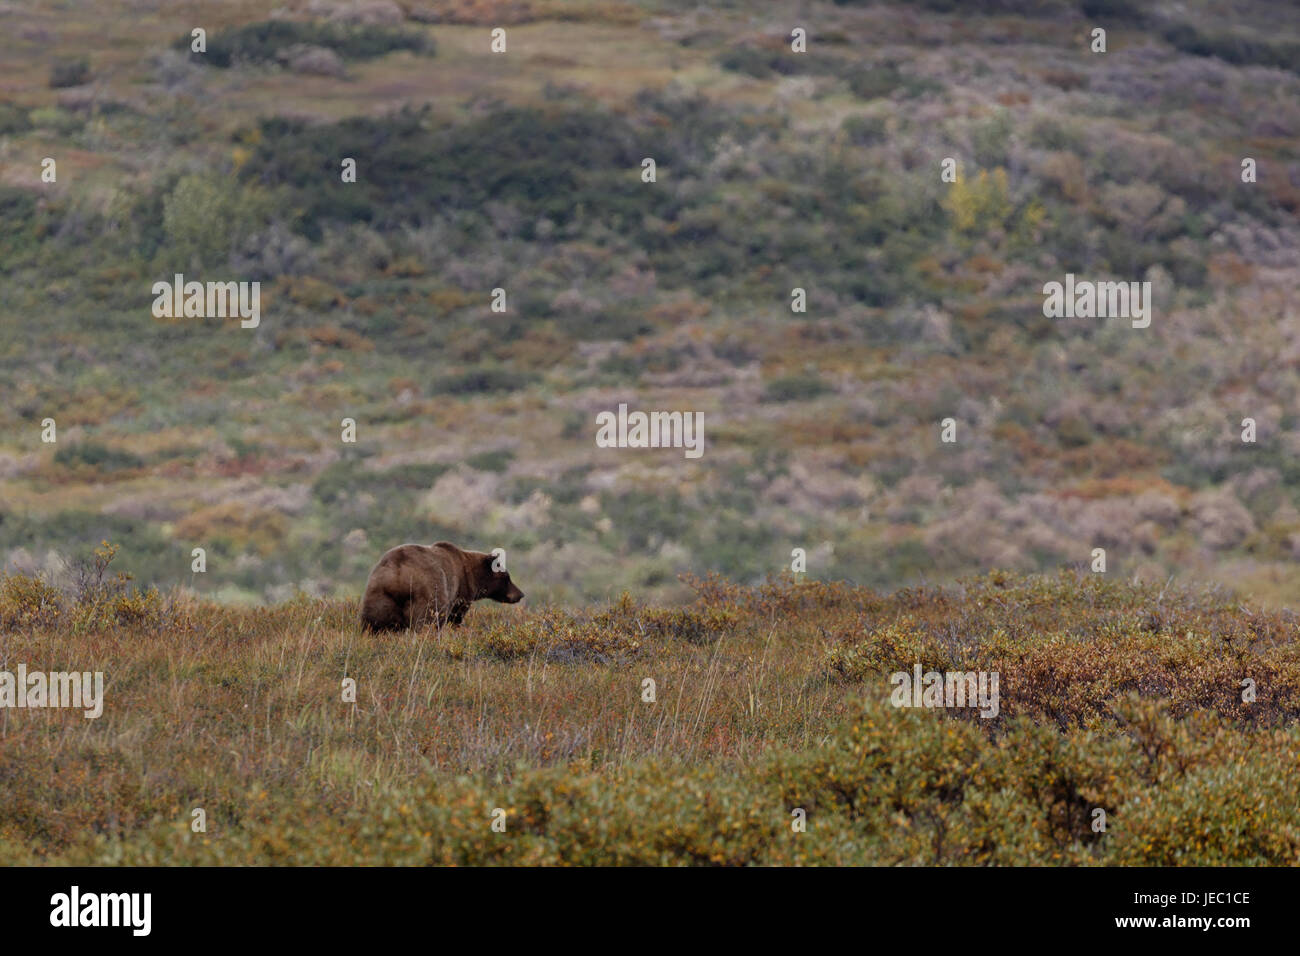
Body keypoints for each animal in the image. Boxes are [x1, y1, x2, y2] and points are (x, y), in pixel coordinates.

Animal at [359, 542, 524, 632]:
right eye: (507, 577)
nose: (520, 594)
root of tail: (399, 574)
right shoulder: (461, 592)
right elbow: (455, 616)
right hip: (427, 593)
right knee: (428, 620)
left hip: (378, 593)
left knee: (374, 622)